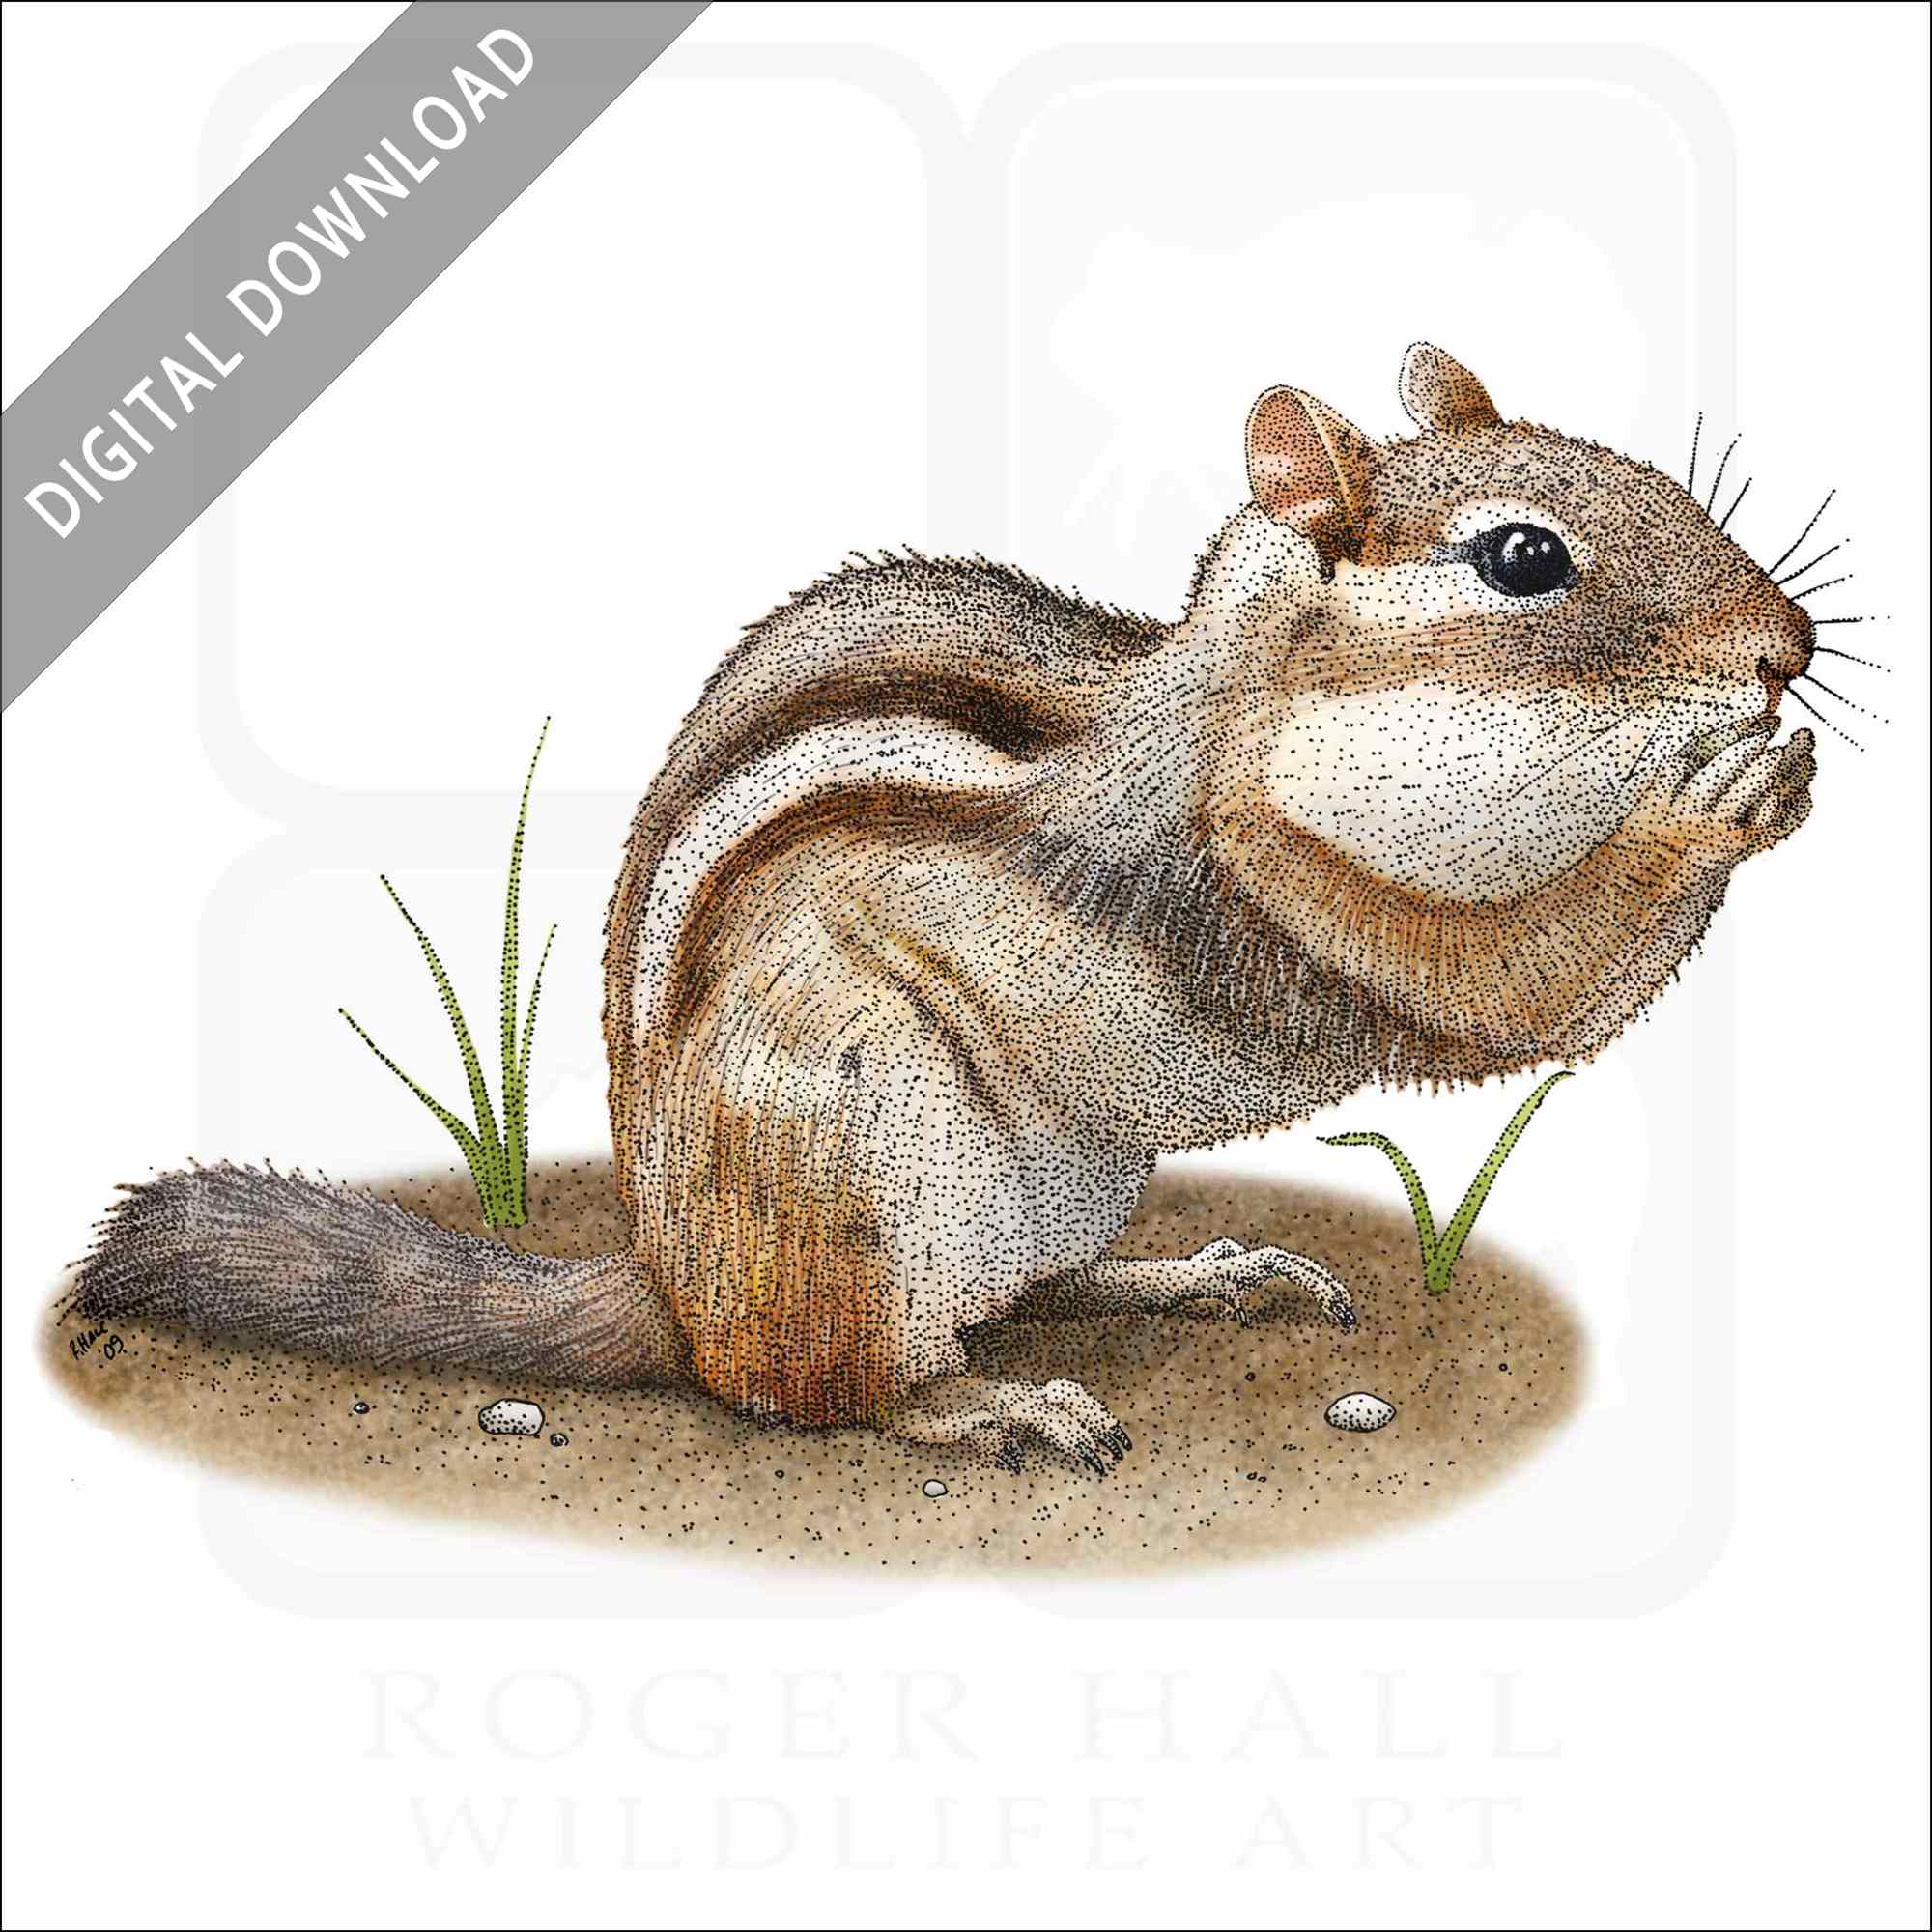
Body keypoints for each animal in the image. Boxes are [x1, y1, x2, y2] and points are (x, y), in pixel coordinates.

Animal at [69, 345, 1818, 1473]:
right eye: (1525, 559)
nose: (1788, 649)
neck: (1241, 710)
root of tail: (671, 1279)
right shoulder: (1266, 887)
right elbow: (1506, 989)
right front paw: (1715, 803)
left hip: (1060, 1177)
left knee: (1031, 1288)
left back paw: (1197, 1275)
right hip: (859, 1161)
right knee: (819, 1389)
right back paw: (989, 1407)